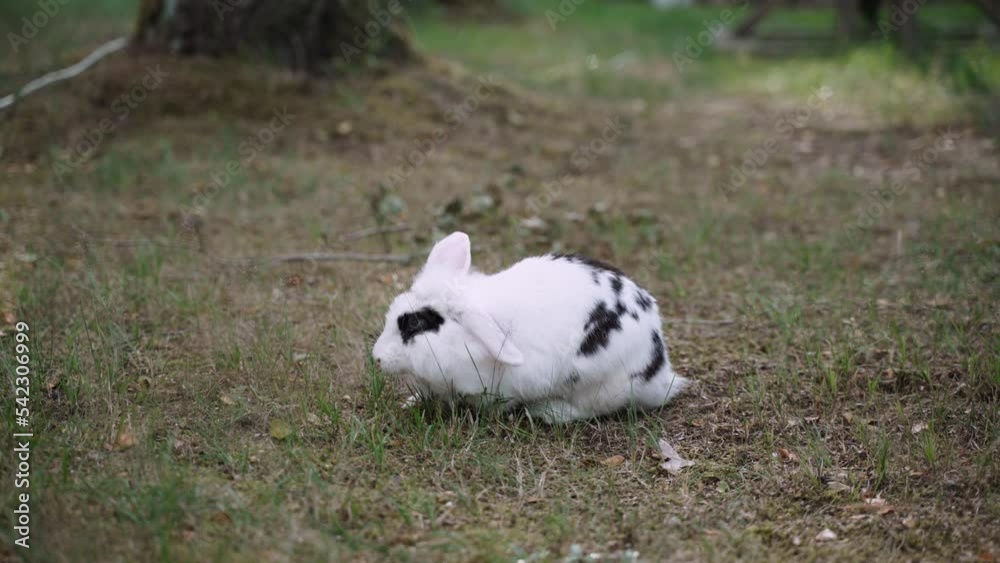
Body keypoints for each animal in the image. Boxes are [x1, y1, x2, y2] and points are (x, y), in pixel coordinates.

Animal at [371, 231, 689, 423]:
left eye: (414, 323)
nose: (377, 357)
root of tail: (661, 373)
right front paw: (411, 402)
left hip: (598, 383)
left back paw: (545, 411)